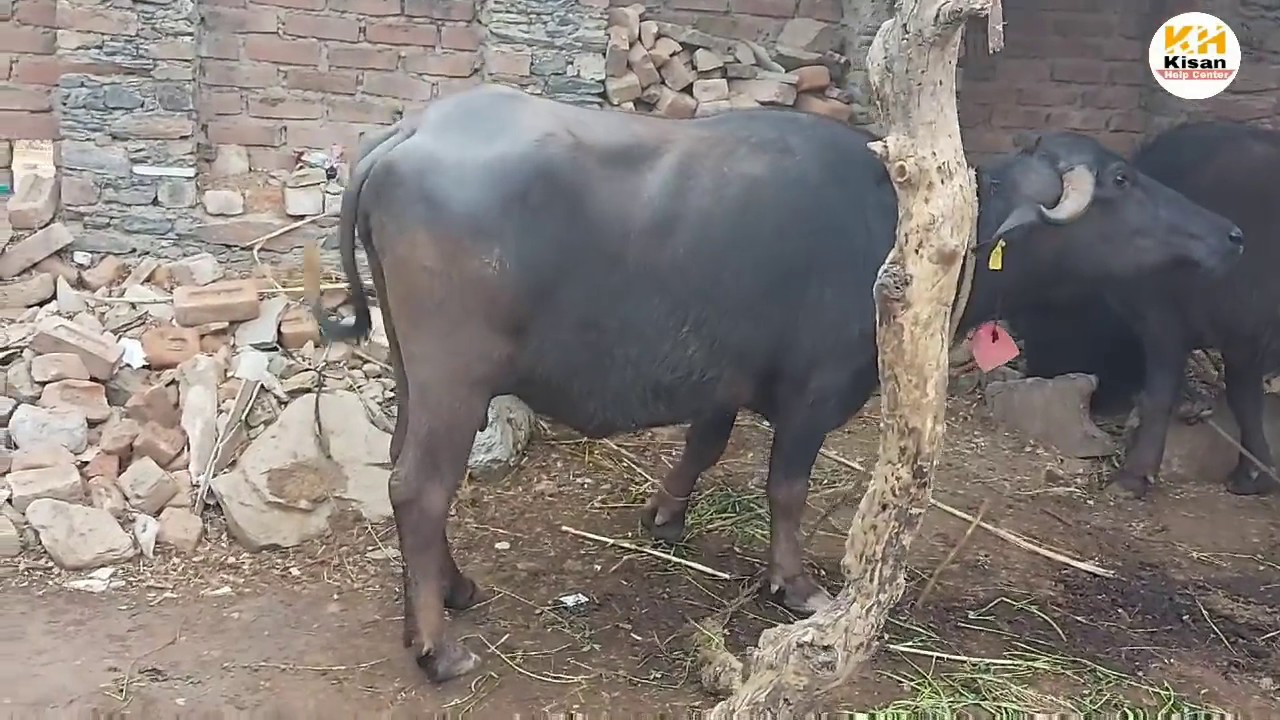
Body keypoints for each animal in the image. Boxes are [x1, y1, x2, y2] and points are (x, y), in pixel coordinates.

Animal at [307, 84, 1242, 682]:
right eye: (1121, 180)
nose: (1230, 233)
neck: (908, 227)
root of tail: (408, 135)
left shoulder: (728, 379)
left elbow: (705, 443)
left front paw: (666, 518)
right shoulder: (815, 389)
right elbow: (786, 485)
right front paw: (795, 586)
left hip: (415, 370)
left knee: (405, 473)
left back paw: (446, 596)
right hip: (456, 374)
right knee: (421, 487)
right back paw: (439, 647)